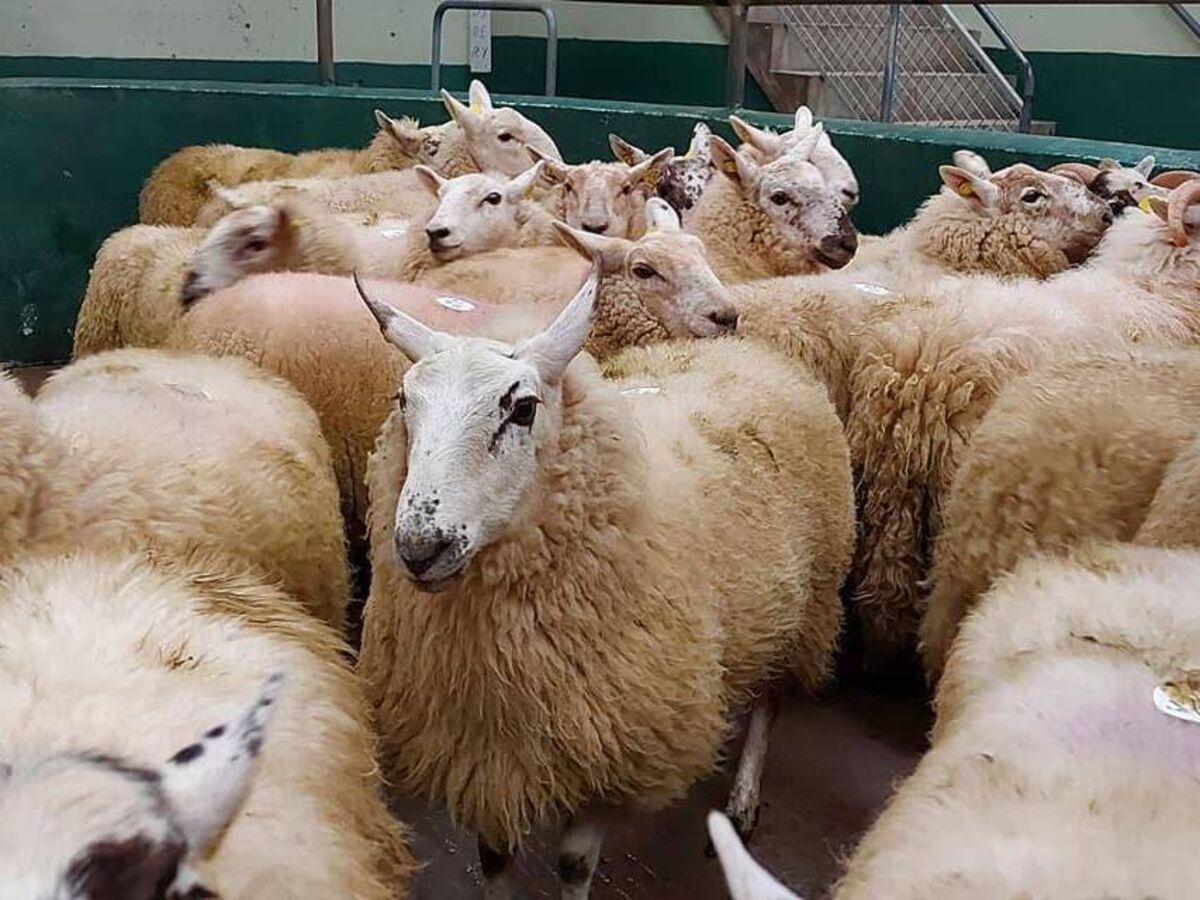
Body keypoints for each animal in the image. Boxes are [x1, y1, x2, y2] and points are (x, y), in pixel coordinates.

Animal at [354, 260, 853, 898]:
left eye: (522, 408)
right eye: (403, 400)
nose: (420, 547)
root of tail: (748, 351)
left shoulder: (609, 749)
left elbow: (574, 865)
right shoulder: (488, 756)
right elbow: (493, 856)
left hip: (810, 601)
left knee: (770, 700)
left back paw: (743, 800)